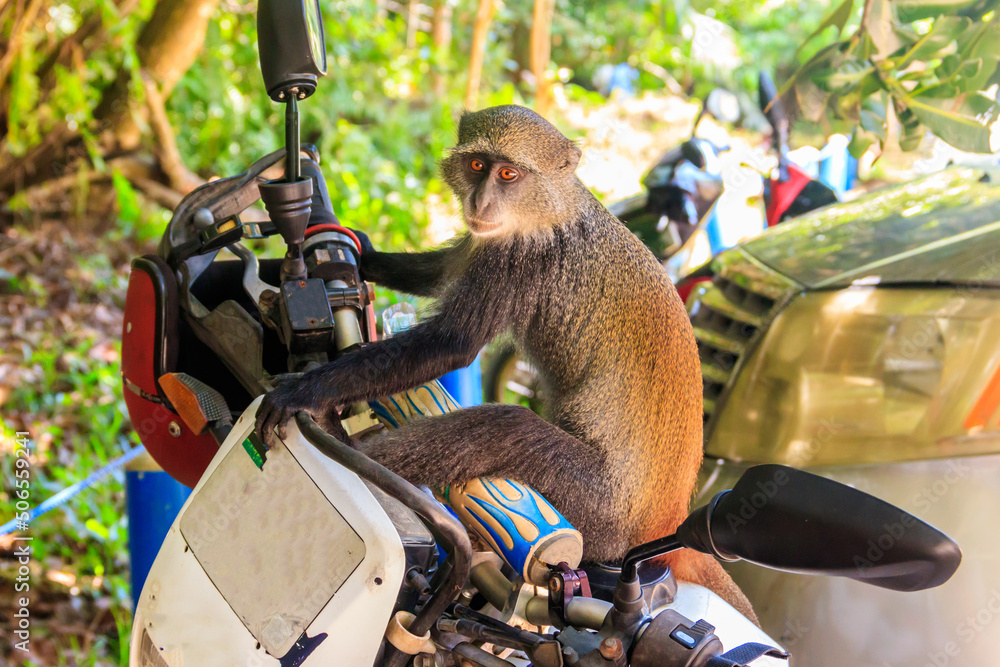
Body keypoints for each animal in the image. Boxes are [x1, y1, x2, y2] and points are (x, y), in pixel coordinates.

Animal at [255, 104, 756, 621]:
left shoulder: (519, 260)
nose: (481, 200)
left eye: (509, 175)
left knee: (507, 427)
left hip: (598, 509)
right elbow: (442, 272)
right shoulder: (487, 243)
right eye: (478, 166)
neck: (551, 206)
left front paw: (304, 391)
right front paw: (355, 255)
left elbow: (448, 346)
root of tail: (665, 527)